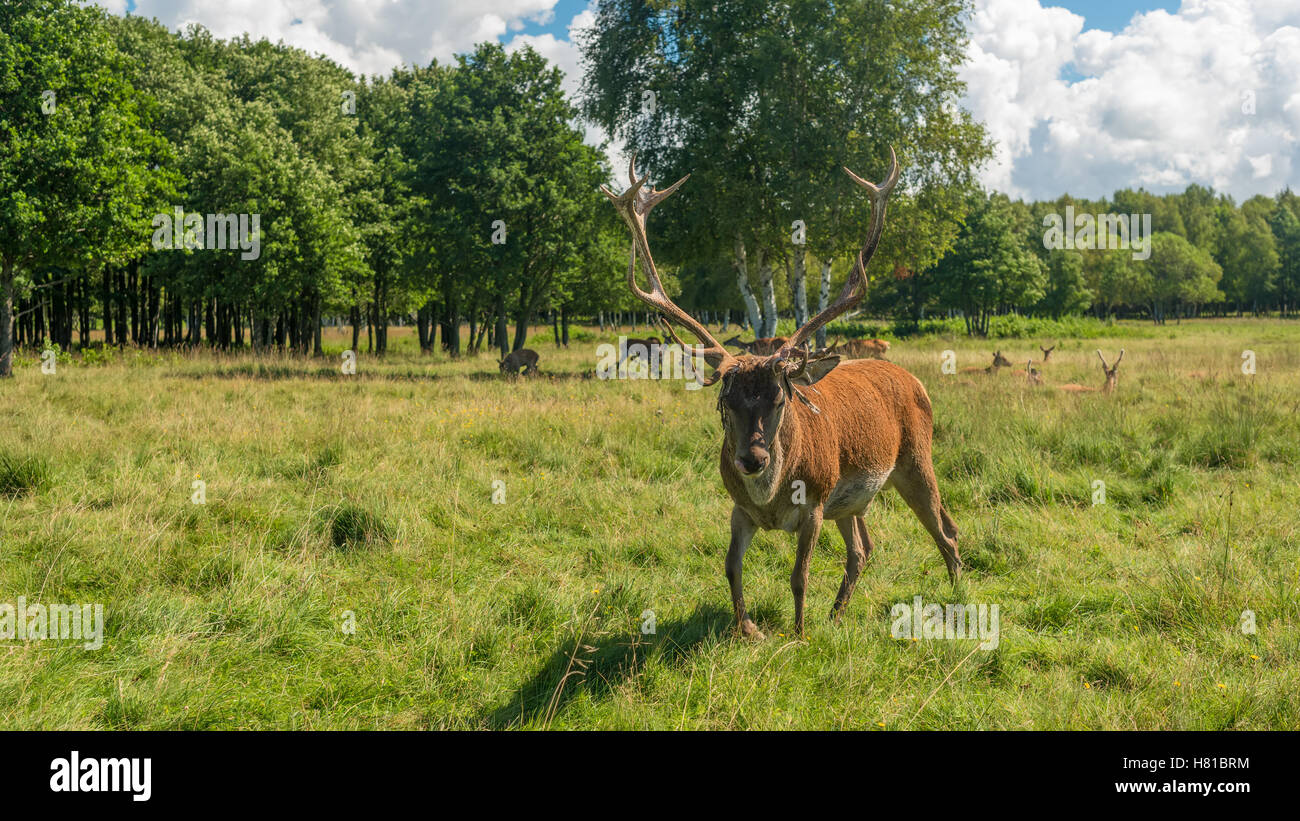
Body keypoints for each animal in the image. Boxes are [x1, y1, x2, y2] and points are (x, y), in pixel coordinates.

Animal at [601, 148, 961, 640]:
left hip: (915, 459)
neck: (771, 500)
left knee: (946, 529)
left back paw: (956, 597)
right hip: (852, 502)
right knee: (863, 548)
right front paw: (749, 628)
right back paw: (837, 614)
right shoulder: (739, 509)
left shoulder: (815, 502)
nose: (752, 459)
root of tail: (913, 379)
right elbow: (730, 566)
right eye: (726, 402)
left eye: (779, 399)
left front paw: (798, 634)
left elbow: (799, 574)